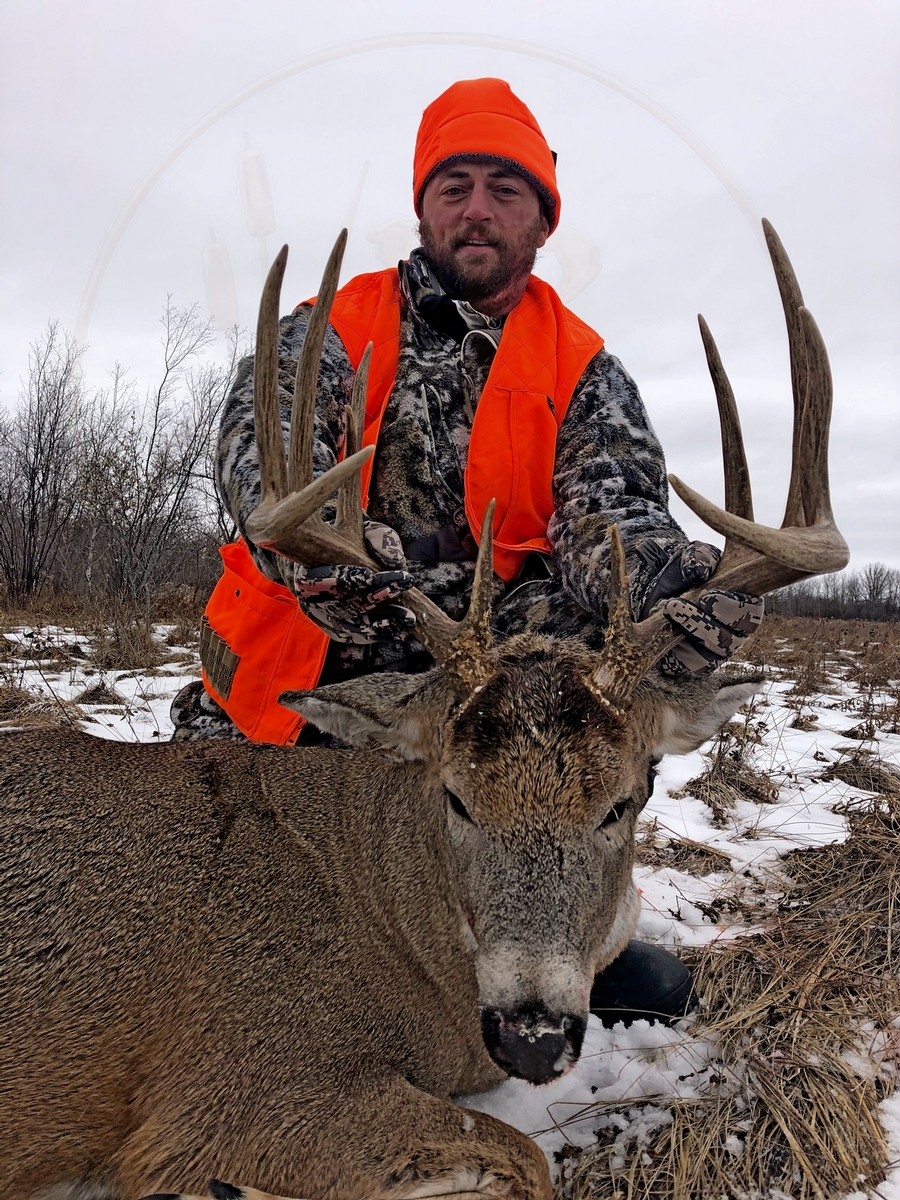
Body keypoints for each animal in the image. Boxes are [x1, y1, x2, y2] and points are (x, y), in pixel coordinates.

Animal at [0, 221, 847, 1200]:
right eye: (456, 798)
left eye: (622, 803)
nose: (531, 1036)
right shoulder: (231, 1084)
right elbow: (524, 1157)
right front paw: (230, 1190)